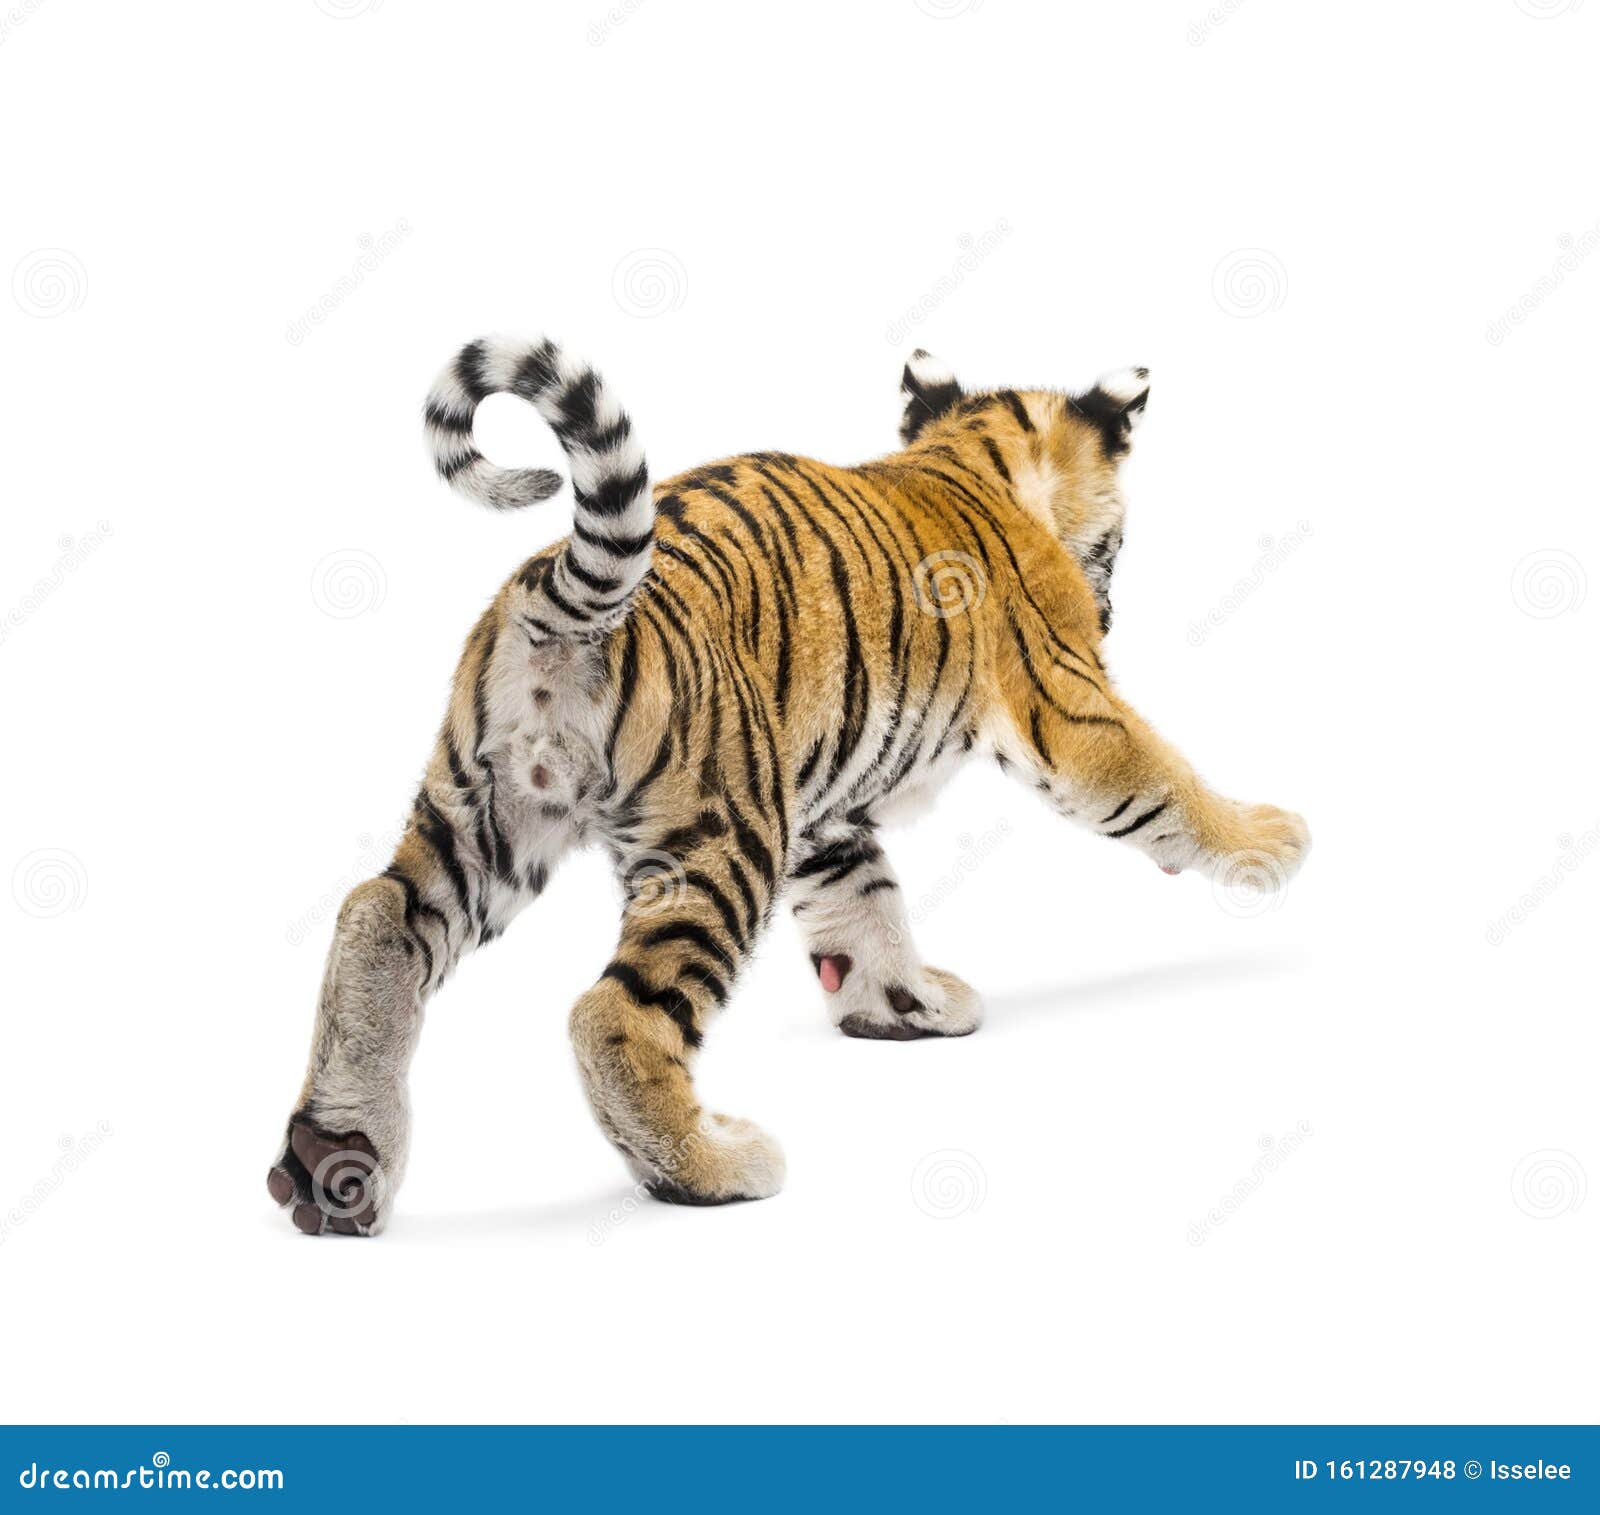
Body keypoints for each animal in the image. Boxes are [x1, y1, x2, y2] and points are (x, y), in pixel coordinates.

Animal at [266, 335, 1311, 1235]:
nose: (1115, 602)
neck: (977, 453)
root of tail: (559, 598)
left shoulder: (820, 809)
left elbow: (865, 904)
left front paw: (903, 1006)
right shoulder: (1068, 701)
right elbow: (1165, 778)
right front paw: (1271, 839)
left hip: (486, 813)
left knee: (378, 917)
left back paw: (337, 1159)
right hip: (720, 840)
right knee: (613, 1013)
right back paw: (710, 1167)